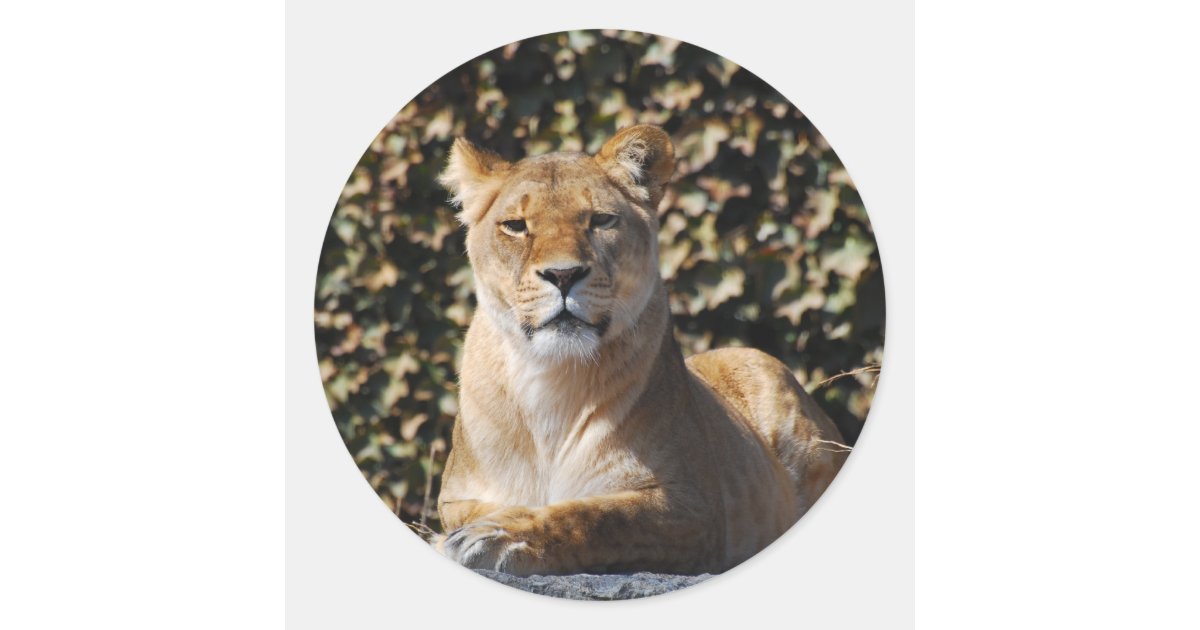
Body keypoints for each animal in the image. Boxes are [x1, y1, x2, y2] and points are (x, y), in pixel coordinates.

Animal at [431, 124, 849, 577]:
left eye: (600, 220)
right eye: (515, 226)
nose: (563, 275)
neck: (553, 376)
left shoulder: (694, 508)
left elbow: (596, 517)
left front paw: (501, 537)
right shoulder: (455, 496)